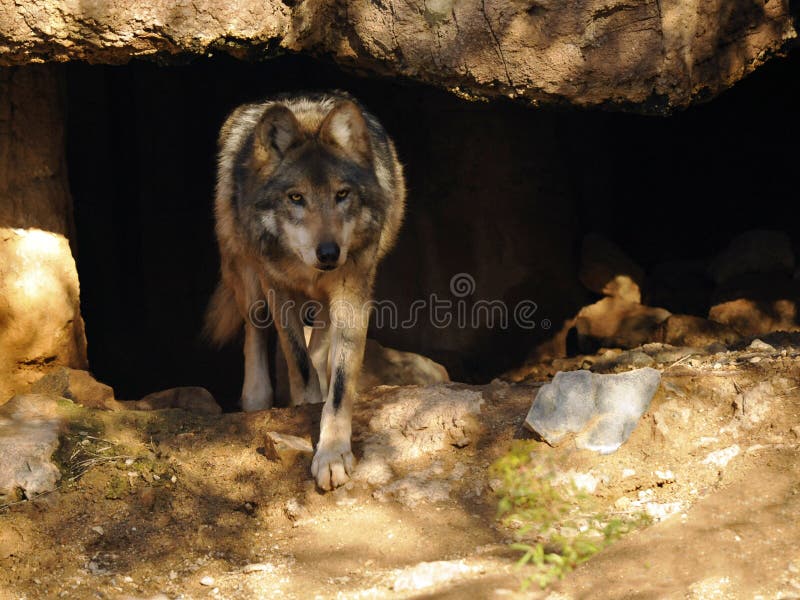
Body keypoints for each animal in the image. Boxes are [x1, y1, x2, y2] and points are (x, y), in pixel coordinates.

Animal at [205, 92, 406, 490]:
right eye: (296, 198)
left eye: (342, 195)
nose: (328, 253)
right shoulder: (277, 288)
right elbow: (296, 358)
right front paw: (304, 402)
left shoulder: (352, 293)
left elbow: (339, 383)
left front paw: (332, 454)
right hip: (246, 273)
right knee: (255, 330)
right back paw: (256, 397)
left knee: (321, 342)